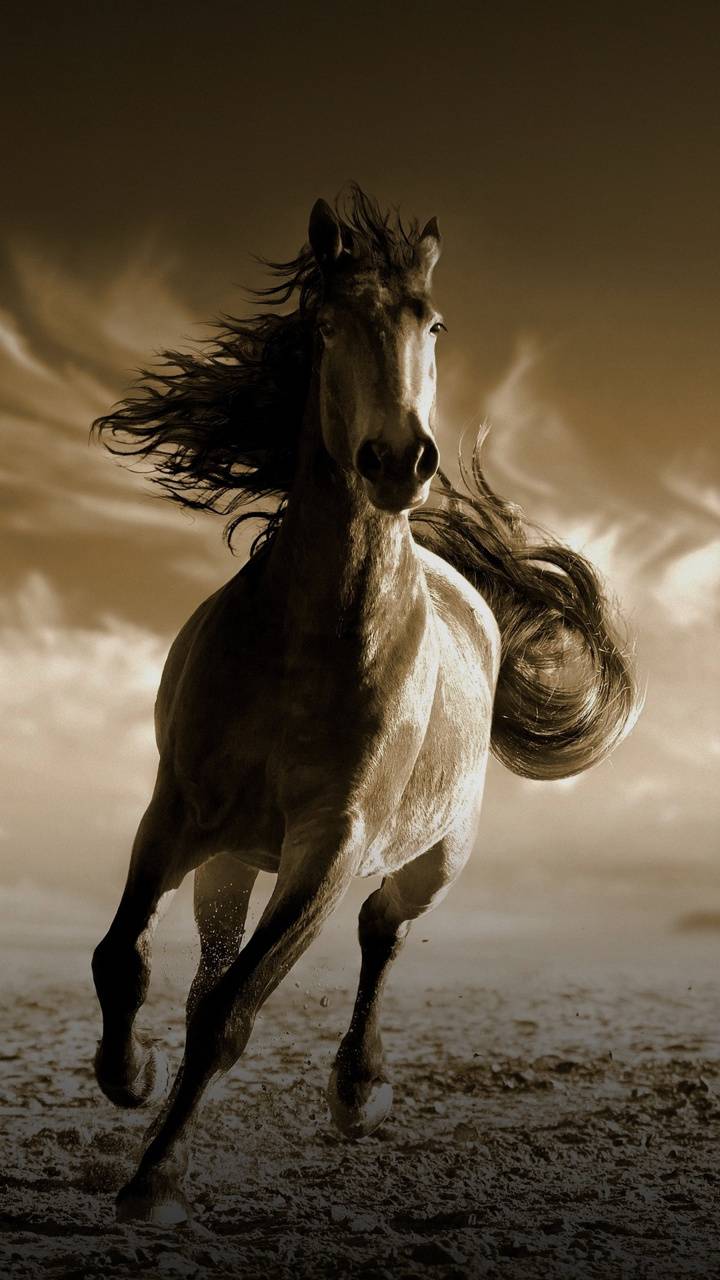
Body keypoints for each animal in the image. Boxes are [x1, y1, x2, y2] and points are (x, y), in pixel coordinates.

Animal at [91, 186, 639, 1225]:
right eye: (326, 323)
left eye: (433, 322)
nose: (398, 460)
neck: (308, 644)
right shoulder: (176, 811)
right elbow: (126, 960)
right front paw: (128, 1076)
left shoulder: (331, 845)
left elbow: (232, 1015)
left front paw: (154, 1179)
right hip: (234, 857)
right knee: (213, 953)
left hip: (432, 857)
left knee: (382, 934)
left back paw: (358, 1090)